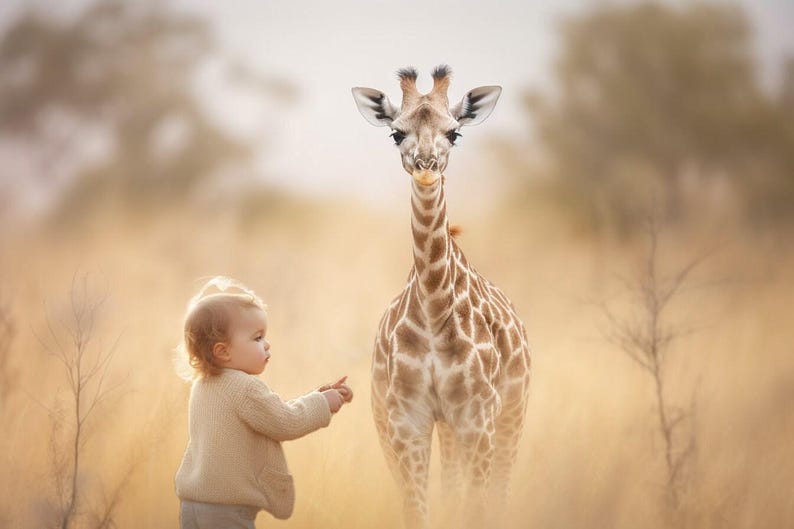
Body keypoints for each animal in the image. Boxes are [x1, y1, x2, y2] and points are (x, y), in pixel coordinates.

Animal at [352, 66, 531, 529]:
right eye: (396, 133)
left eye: (455, 133)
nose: (426, 166)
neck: (434, 311)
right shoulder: (407, 418)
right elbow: (419, 510)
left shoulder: (478, 417)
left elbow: (477, 507)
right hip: (403, 422)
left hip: (511, 412)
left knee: (498, 493)